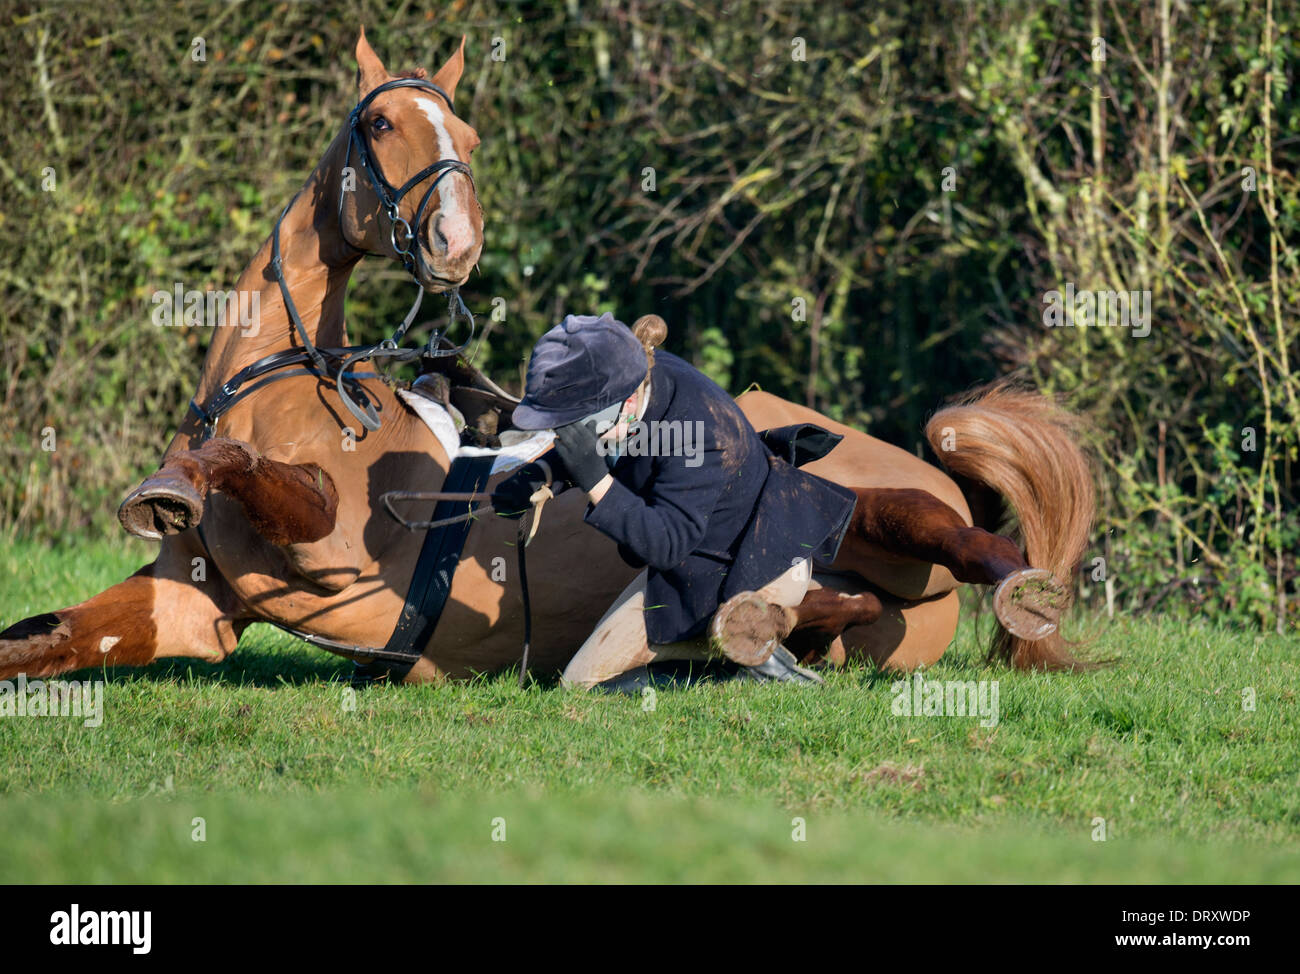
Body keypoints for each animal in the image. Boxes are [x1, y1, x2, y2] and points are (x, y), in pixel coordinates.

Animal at [0, 30, 1094, 686]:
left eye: (468, 129)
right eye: (381, 121)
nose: (455, 242)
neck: (280, 382)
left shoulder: (327, 543)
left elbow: (236, 468)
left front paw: (171, 483)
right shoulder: (193, 605)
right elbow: (45, 638)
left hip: (871, 500)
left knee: (962, 538)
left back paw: (1025, 595)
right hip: (872, 606)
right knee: (832, 602)